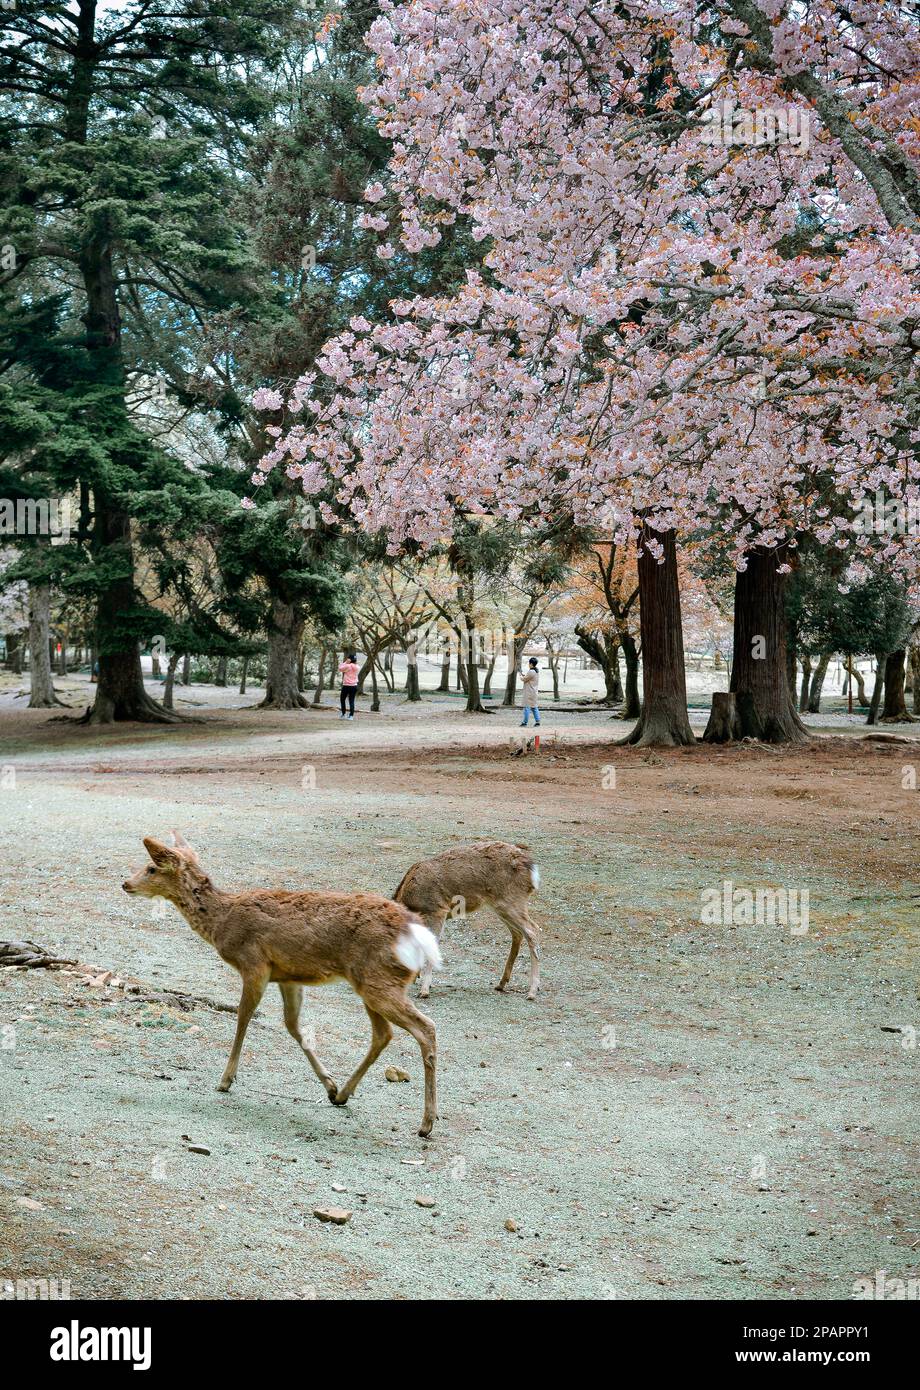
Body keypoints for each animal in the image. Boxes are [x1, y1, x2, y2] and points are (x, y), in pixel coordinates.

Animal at [122, 833, 442, 1137]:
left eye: (151, 867)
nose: (125, 883)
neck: (222, 923)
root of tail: (419, 934)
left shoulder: (255, 964)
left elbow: (243, 1016)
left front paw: (225, 1080)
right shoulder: (288, 976)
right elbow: (292, 1025)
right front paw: (329, 1084)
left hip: (379, 981)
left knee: (425, 1027)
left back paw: (426, 1124)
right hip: (372, 983)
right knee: (383, 1034)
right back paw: (344, 1094)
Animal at [392, 840, 541, 1001]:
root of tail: (532, 872)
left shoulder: (437, 910)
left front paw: (424, 990)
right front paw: (416, 977)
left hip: (512, 900)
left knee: (532, 930)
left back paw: (532, 991)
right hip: (501, 905)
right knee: (518, 933)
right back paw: (501, 983)